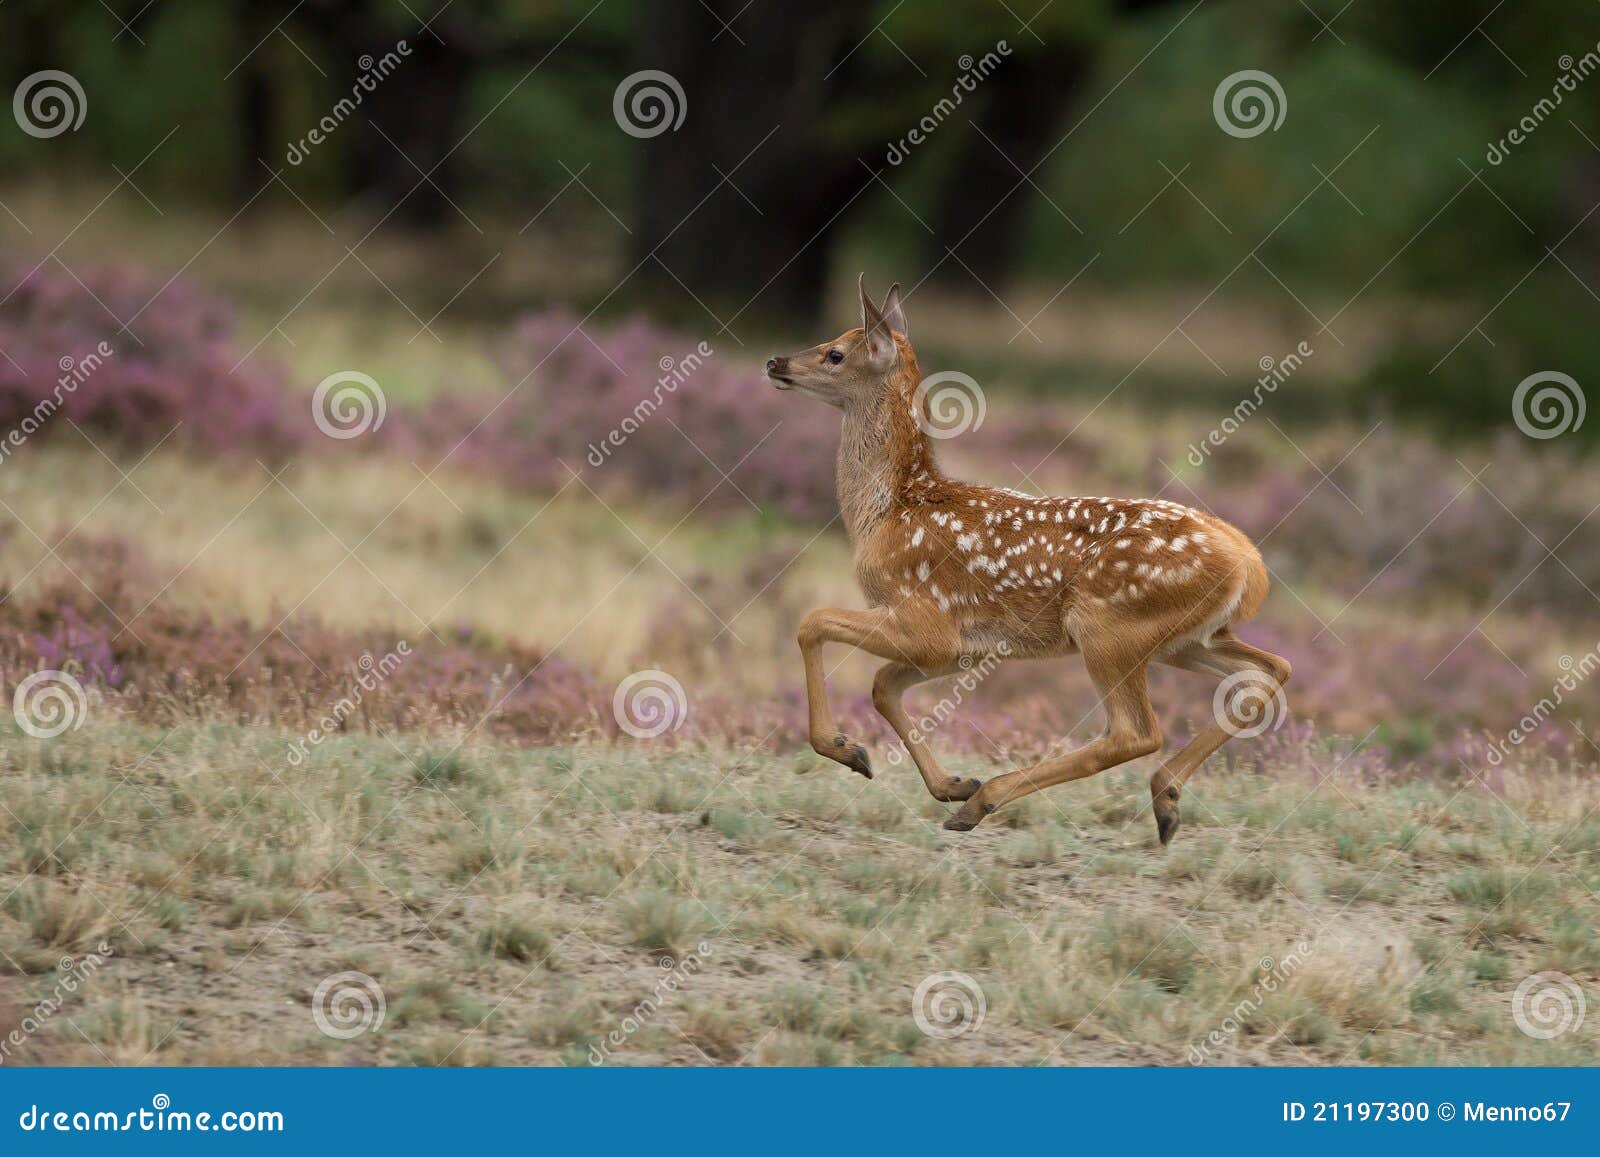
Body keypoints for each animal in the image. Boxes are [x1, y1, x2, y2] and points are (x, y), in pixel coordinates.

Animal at [764, 275, 1291, 845]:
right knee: (1268, 670)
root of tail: (1252, 567)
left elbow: (813, 622)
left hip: (1108, 626)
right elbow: (883, 686)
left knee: (1135, 732)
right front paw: (948, 782)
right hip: (1187, 639)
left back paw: (991, 800)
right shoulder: (959, 648)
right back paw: (1165, 801)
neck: (889, 511)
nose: (775, 361)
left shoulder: (928, 621)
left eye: (836, 353)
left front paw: (845, 749)